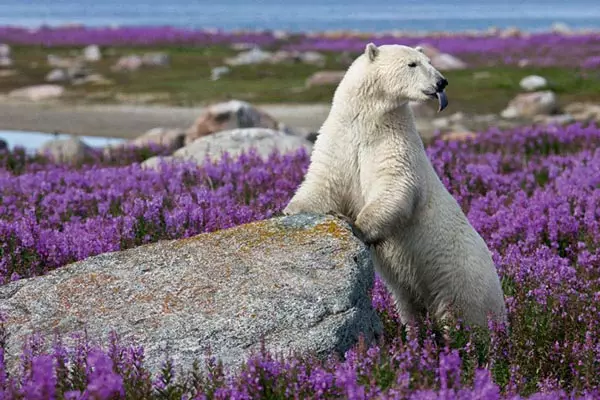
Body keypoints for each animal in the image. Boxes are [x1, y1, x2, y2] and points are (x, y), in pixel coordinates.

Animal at [284, 43, 506, 328]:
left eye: (429, 61)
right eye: (413, 64)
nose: (441, 82)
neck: (368, 121)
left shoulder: (393, 142)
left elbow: (394, 185)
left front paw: (356, 226)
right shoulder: (340, 140)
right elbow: (324, 182)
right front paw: (290, 210)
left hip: (462, 280)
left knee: (465, 318)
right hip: (412, 290)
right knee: (410, 307)